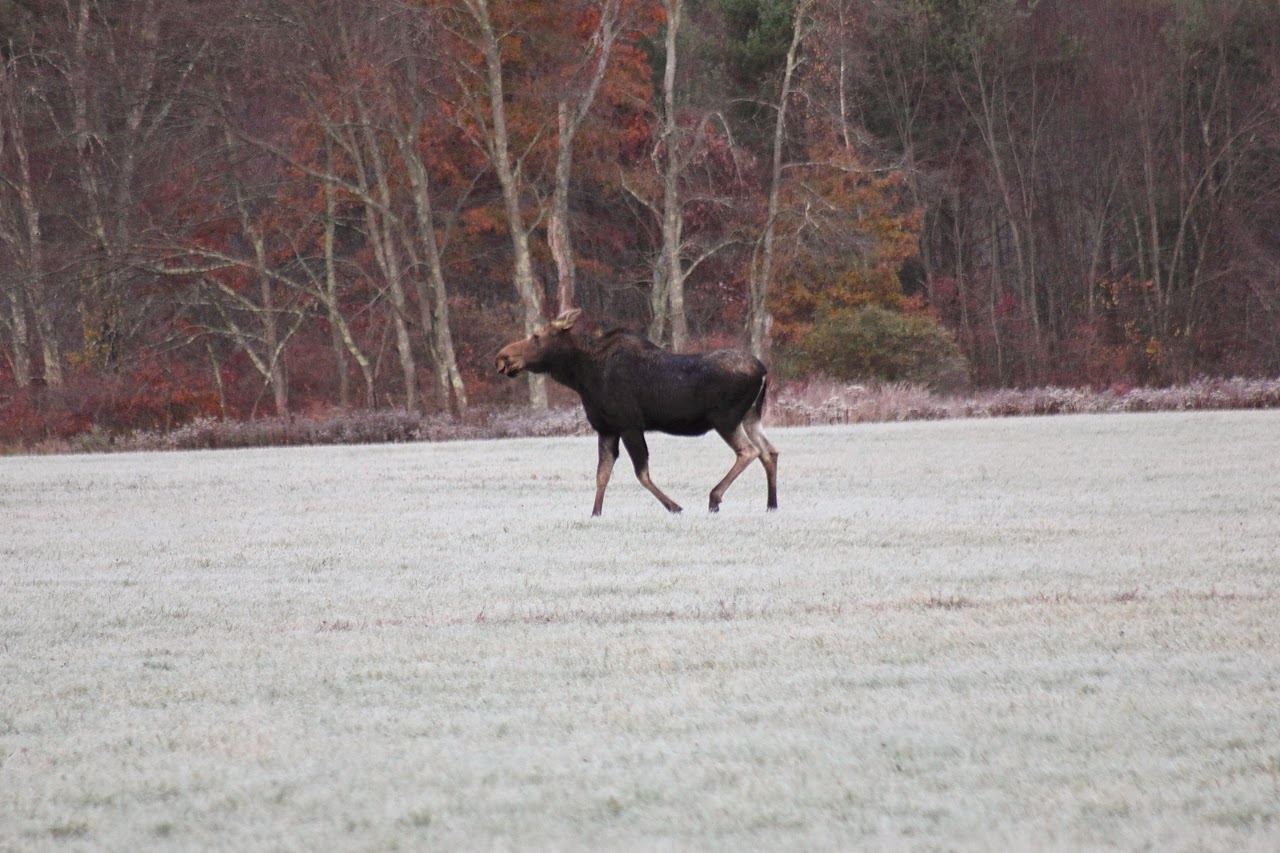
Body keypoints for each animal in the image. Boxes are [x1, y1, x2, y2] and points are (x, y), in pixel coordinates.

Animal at [496, 309, 777, 516]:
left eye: (536, 336)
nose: (502, 358)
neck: (581, 378)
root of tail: (764, 371)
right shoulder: (606, 428)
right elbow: (602, 474)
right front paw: (595, 513)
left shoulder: (629, 425)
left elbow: (641, 473)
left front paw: (674, 506)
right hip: (751, 416)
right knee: (769, 451)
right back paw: (771, 505)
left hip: (726, 419)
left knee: (749, 451)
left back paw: (715, 497)